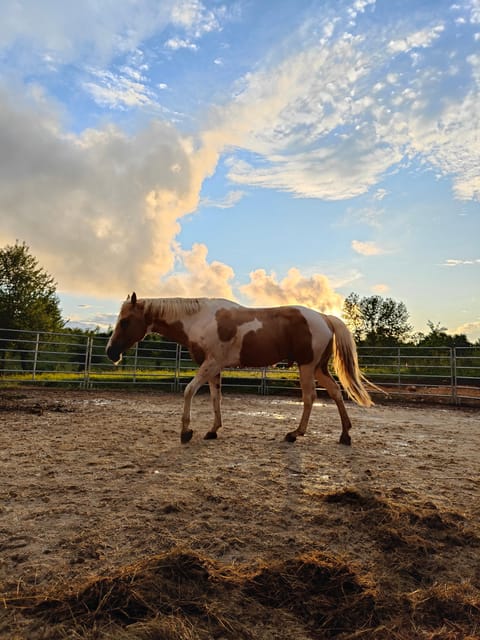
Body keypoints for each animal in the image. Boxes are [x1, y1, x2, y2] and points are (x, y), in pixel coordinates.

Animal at [106, 292, 375, 445]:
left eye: (125, 321)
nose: (110, 352)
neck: (200, 319)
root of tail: (324, 317)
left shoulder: (210, 364)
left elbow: (189, 390)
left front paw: (186, 431)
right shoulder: (214, 369)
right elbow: (216, 398)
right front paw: (212, 430)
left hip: (307, 367)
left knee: (310, 398)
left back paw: (294, 434)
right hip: (318, 368)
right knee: (336, 393)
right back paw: (345, 435)